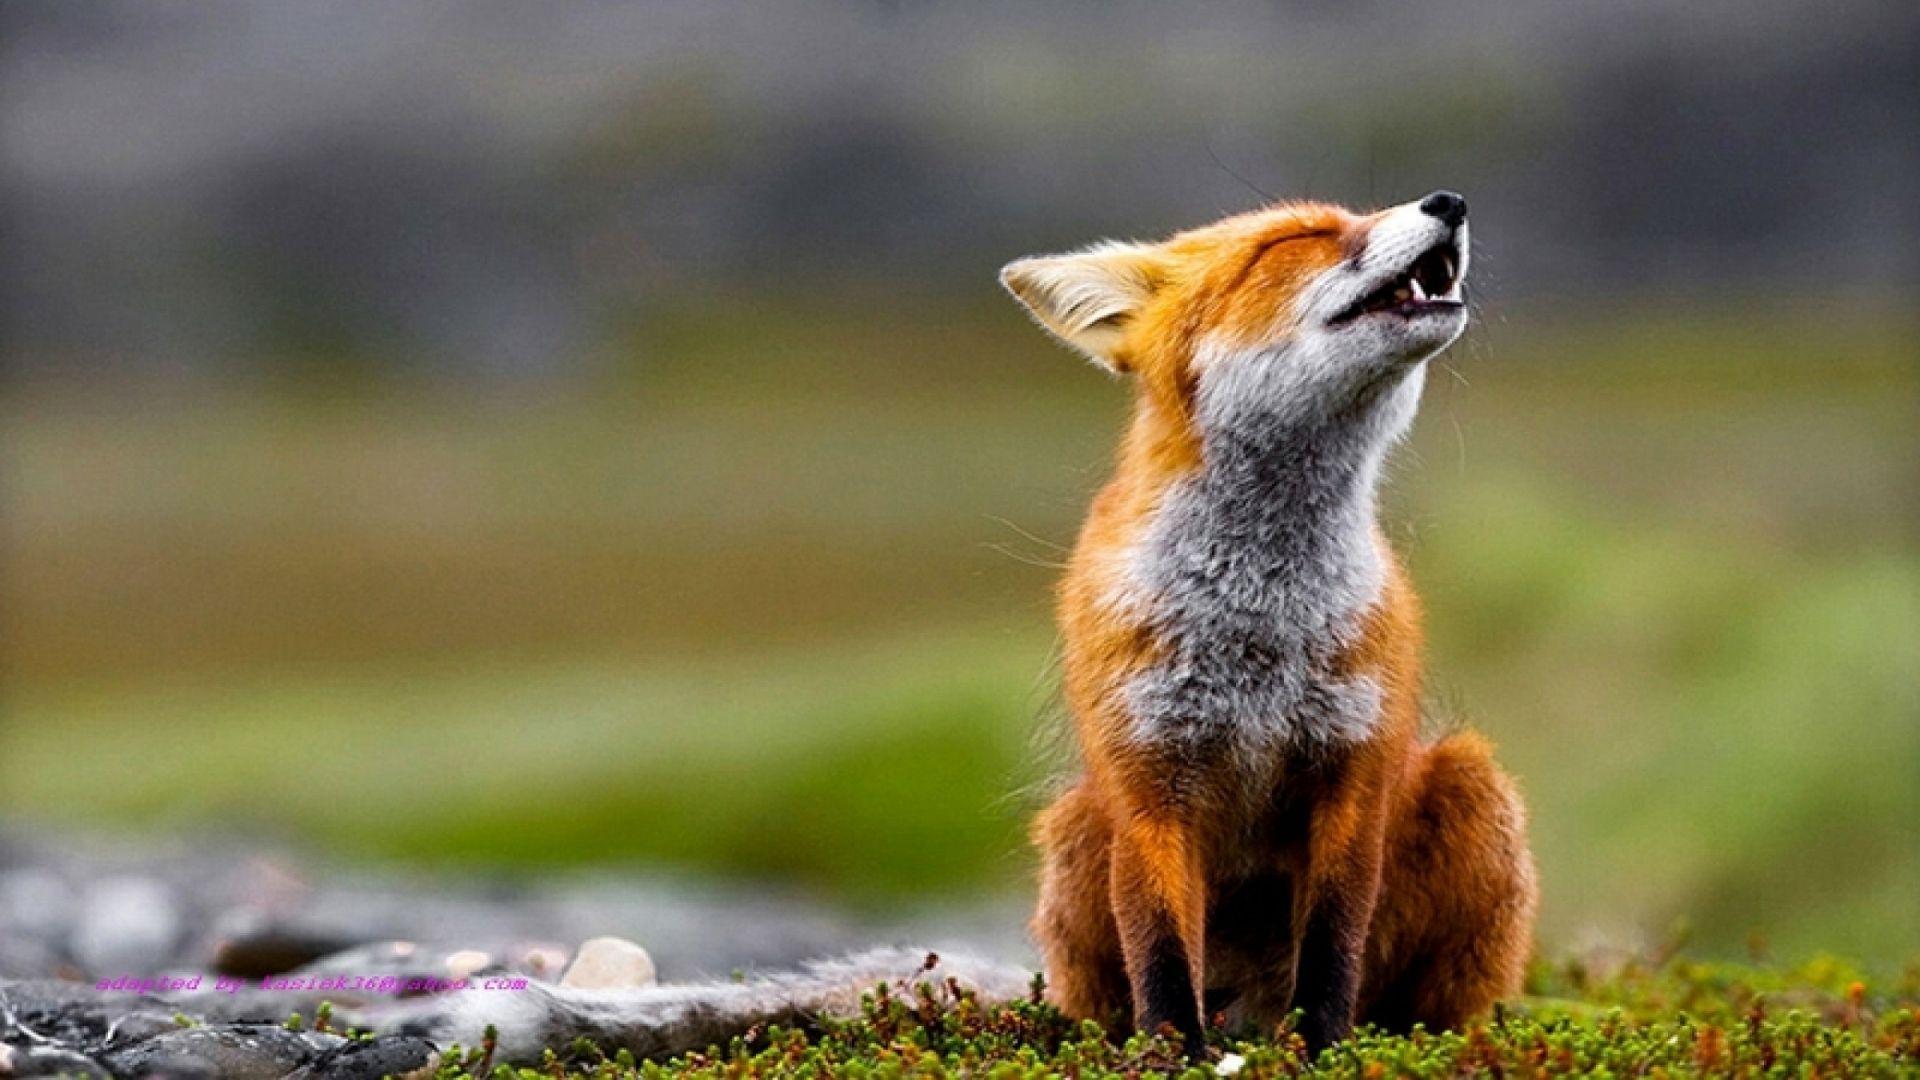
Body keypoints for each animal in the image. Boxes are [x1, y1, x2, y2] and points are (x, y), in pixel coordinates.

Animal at [389, 191, 1535, 1065]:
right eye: (1295, 240)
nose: (1449, 201)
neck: (1259, 613)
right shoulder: (1147, 782)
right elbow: (1164, 967)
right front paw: (1170, 1061)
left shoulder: (1350, 771)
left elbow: (1332, 957)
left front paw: (1327, 1055)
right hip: (1077, 832)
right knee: (1120, 1005)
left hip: (1472, 787)